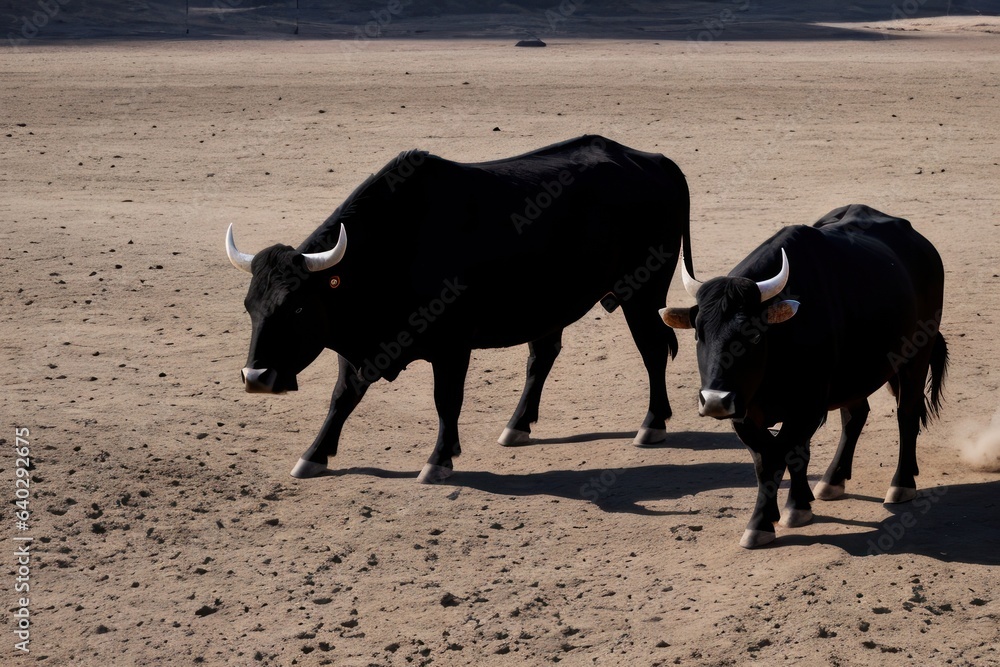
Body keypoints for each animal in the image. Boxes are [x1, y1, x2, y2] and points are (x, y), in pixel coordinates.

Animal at [225, 135, 693, 483]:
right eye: (250, 307)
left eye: (298, 309)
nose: (256, 378)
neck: (398, 244)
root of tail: (654, 161)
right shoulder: (355, 342)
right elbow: (342, 397)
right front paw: (314, 454)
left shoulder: (452, 347)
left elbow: (446, 399)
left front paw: (439, 459)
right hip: (553, 306)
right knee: (542, 357)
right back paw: (518, 425)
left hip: (642, 292)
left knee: (653, 348)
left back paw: (653, 423)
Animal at [660, 204, 947, 548]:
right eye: (698, 334)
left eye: (752, 334)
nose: (715, 401)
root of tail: (923, 247)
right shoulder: (746, 412)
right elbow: (769, 459)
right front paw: (791, 506)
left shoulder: (808, 405)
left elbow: (785, 454)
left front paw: (768, 520)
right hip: (854, 377)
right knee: (855, 416)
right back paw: (832, 480)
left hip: (917, 357)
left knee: (907, 414)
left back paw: (902, 483)